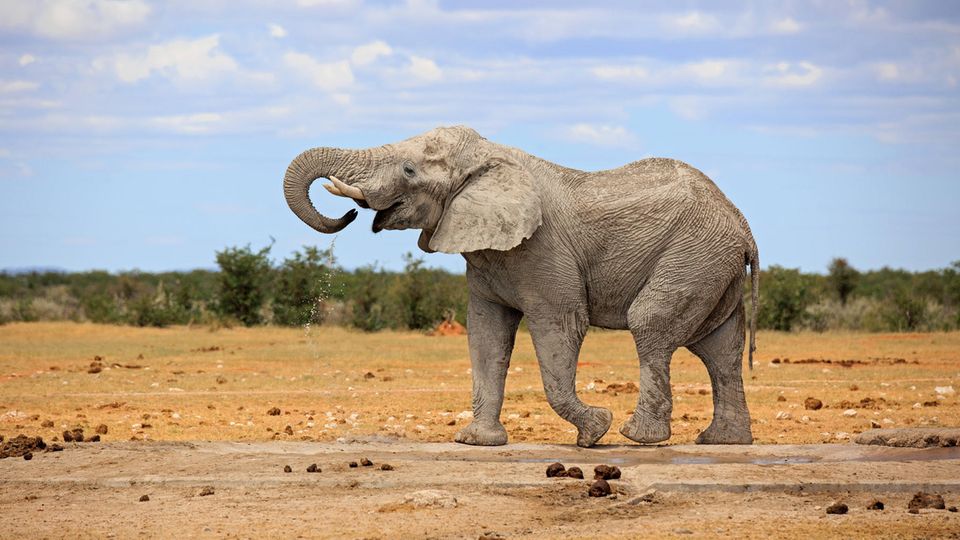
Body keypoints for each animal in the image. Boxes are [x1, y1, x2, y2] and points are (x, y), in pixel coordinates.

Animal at [284, 125, 759, 447]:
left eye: (409, 169)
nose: (348, 213)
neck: (487, 158)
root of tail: (743, 226)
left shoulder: (544, 250)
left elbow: (560, 325)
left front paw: (594, 432)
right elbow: (486, 334)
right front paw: (476, 442)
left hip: (694, 254)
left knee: (652, 323)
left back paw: (639, 436)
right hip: (710, 263)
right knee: (719, 348)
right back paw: (722, 441)